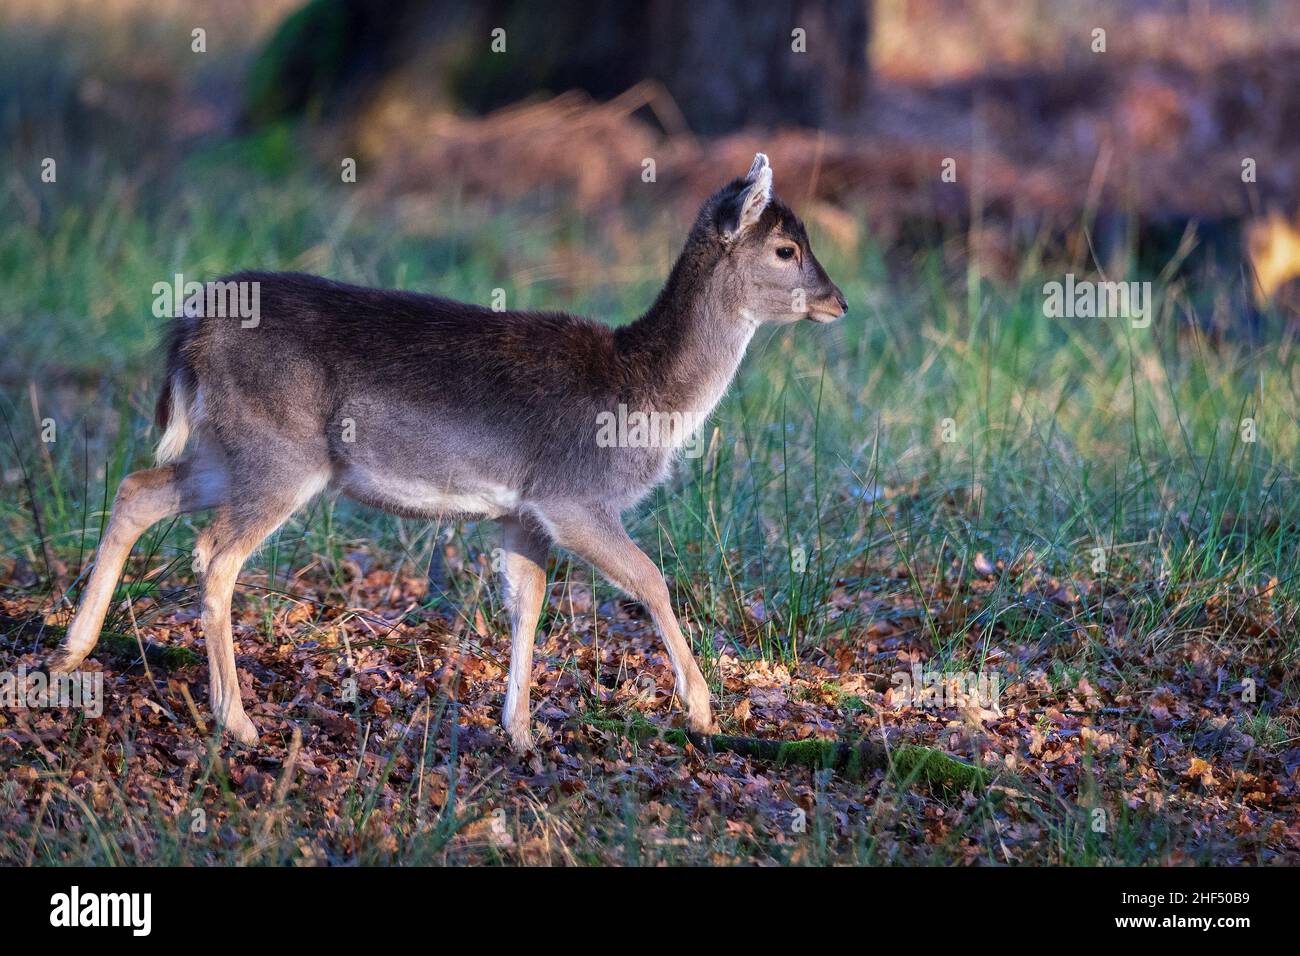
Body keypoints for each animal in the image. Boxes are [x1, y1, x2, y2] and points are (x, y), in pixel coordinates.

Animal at [49, 153, 847, 752]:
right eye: (786, 250)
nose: (838, 302)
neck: (646, 397)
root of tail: (191, 330)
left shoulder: (524, 513)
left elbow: (528, 605)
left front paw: (519, 730)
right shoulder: (574, 493)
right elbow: (651, 579)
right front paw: (702, 707)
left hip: (235, 447)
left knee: (139, 488)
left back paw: (73, 649)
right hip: (281, 453)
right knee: (214, 554)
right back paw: (237, 721)